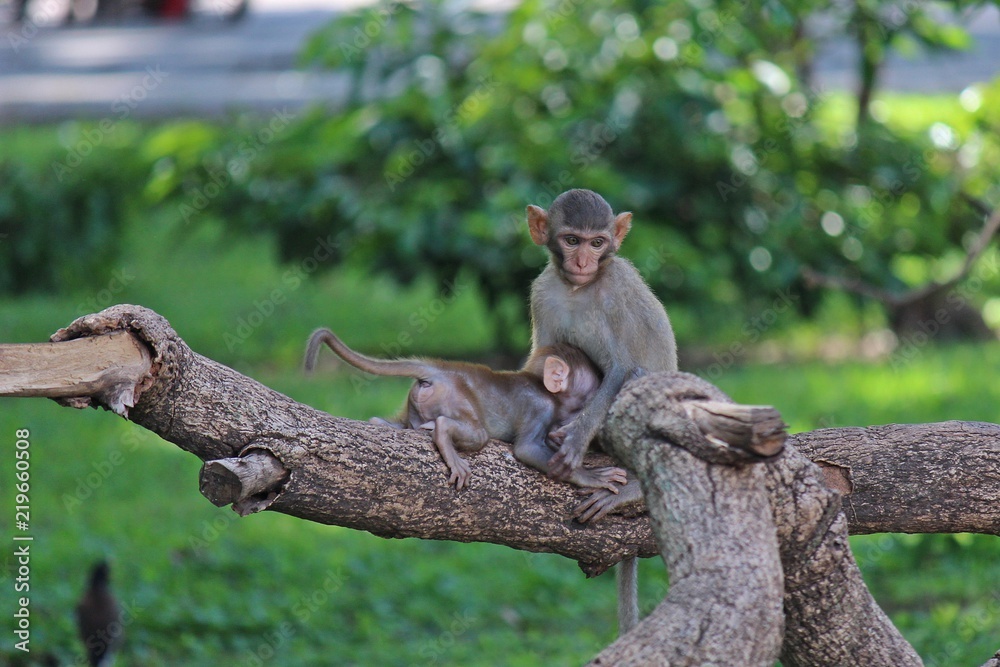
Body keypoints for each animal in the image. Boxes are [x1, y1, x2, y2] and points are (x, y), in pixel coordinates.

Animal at [304, 327, 627, 493]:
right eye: (587, 402)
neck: (544, 389)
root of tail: (441, 370)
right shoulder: (541, 409)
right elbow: (526, 449)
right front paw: (591, 476)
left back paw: (382, 424)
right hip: (454, 398)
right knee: (469, 431)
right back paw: (442, 434)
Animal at [526, 188, 679, 634]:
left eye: (598, 243)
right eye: (572, 240)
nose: (583, 263)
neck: (579, 289)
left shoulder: (616, 290)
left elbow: (621, 368)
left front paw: (575, 441)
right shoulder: (543, 291)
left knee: (637, 377)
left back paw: (632, 486)